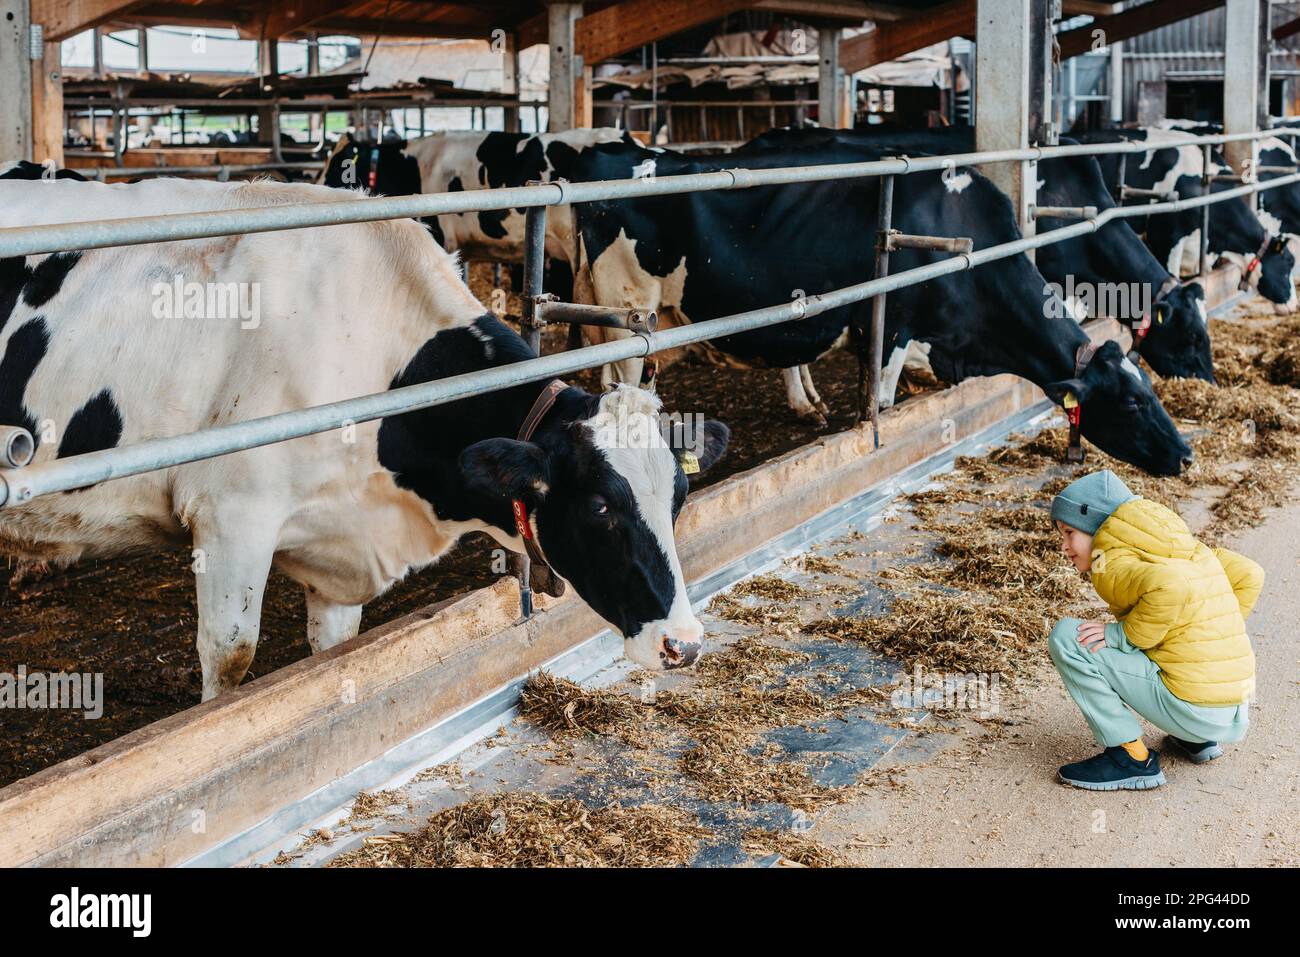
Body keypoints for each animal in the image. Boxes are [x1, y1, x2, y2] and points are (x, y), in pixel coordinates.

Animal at [0, 172, 729, 700]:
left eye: (678, 496)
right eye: (601, 506)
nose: (685, 643)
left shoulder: (338, 552)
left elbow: (334, 650)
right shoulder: (231, 515)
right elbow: (229, 663)